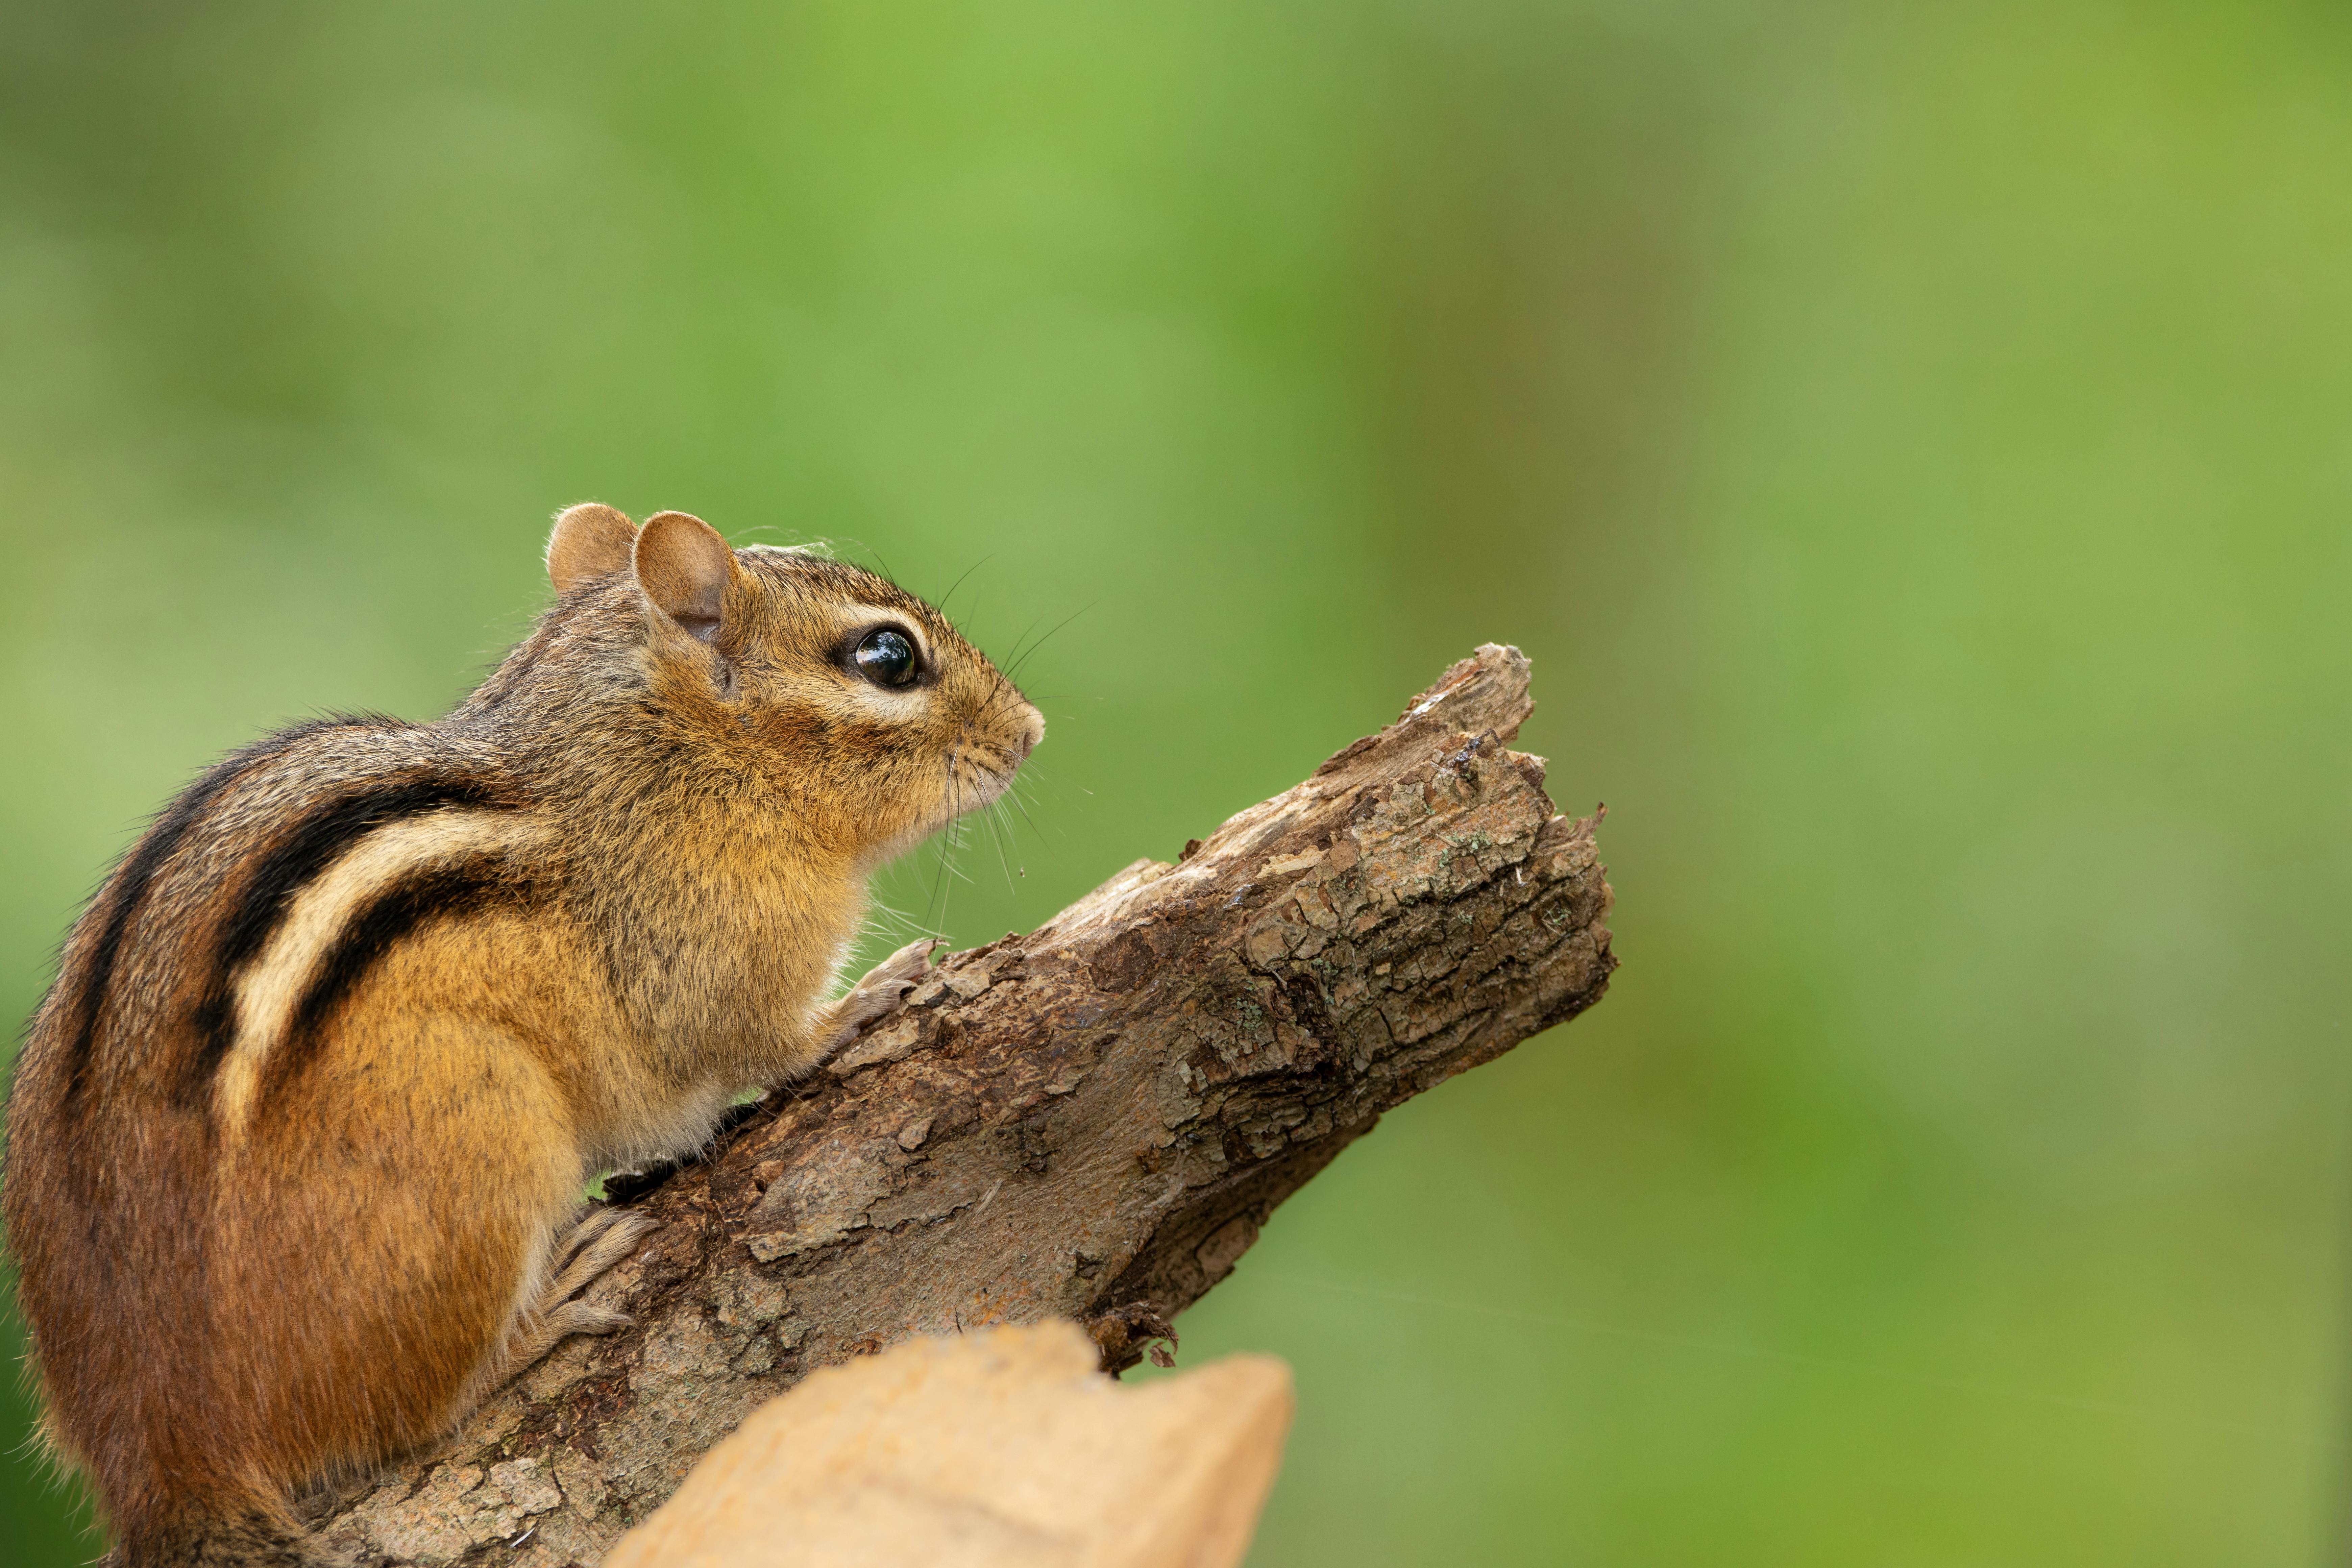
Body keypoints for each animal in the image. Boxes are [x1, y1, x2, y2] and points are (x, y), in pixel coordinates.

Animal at [1, 505, 1043, 1567]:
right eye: (889, 657)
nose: (1032, 730)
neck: (676, 756)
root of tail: (164, 1447)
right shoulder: (714, 956)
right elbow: (763, 1045)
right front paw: (871, 995)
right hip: (481, 1132)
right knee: (413, 1413)